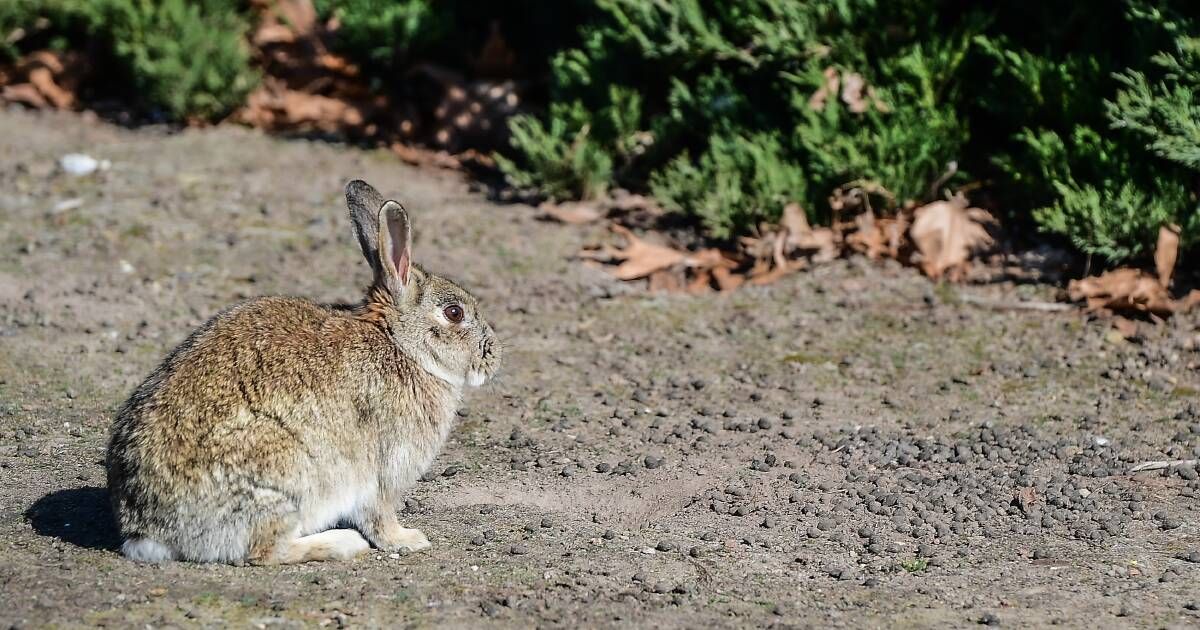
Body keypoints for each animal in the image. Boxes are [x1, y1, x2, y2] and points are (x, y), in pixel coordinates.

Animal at [105, 180, 500, 564]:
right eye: (454, 313)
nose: (493, 357)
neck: (400, 344)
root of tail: (148, 530)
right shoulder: (384, 468)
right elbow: (379, 514)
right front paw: (408, 539)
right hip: (285, 480)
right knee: (264, 551)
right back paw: (342, 543)